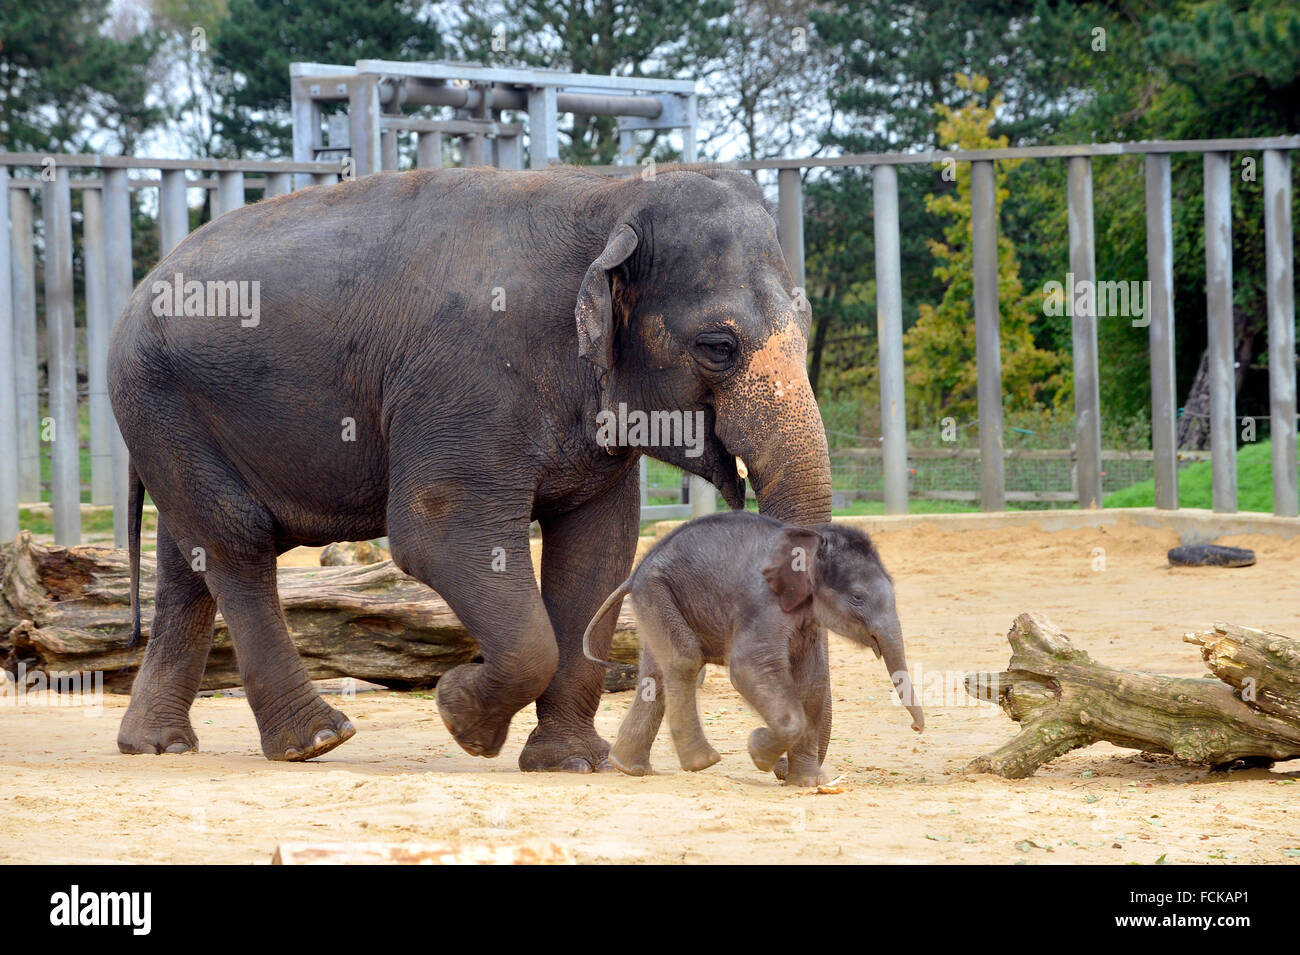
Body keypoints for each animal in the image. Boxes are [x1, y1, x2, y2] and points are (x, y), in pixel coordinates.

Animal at [107, 164, 833, 771]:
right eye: (717, 346)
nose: (787, 769)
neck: (611, 195)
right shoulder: (466, 384)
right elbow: (439, 534)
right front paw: (463, 719)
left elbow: (597, 552)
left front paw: (570, 762)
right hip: (157, 400)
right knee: (236, 544)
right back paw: (315, 740)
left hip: (173, 419)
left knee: (189, 558)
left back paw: (158, 745)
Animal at [582, 511, 924, 786]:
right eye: (857, 597)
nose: (916, 727)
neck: (810, 540)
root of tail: (636, 572)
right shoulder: (762, 603)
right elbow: (749, 668)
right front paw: (758, 753)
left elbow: (812, 682)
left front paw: (807, 784)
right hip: (657, 590)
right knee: (685, 658)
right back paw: (702, 762)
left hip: (659, 598)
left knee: (658, 670)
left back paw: (628, 767)